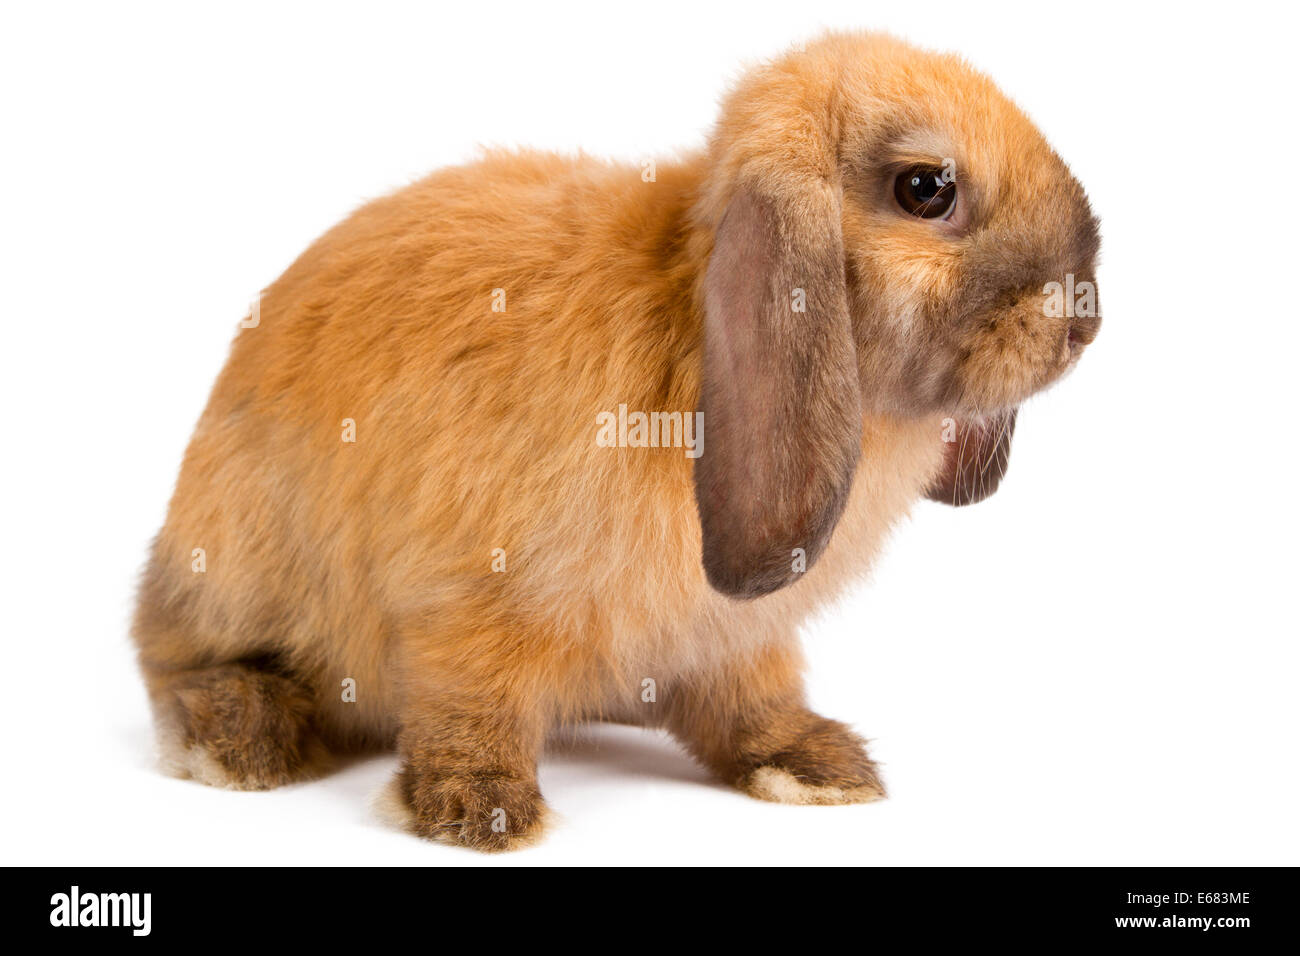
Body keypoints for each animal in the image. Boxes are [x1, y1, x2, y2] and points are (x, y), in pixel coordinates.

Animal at [132, 30, 1101, 851]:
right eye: (925, 188)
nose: (1084, 317)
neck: (688, 320)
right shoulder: (469, 597)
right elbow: (468, 699)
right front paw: (481, 812)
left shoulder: (736, 636)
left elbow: (754, 699)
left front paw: (819, 767)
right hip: (237, 564)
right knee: (170, 655)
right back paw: (242, 736)